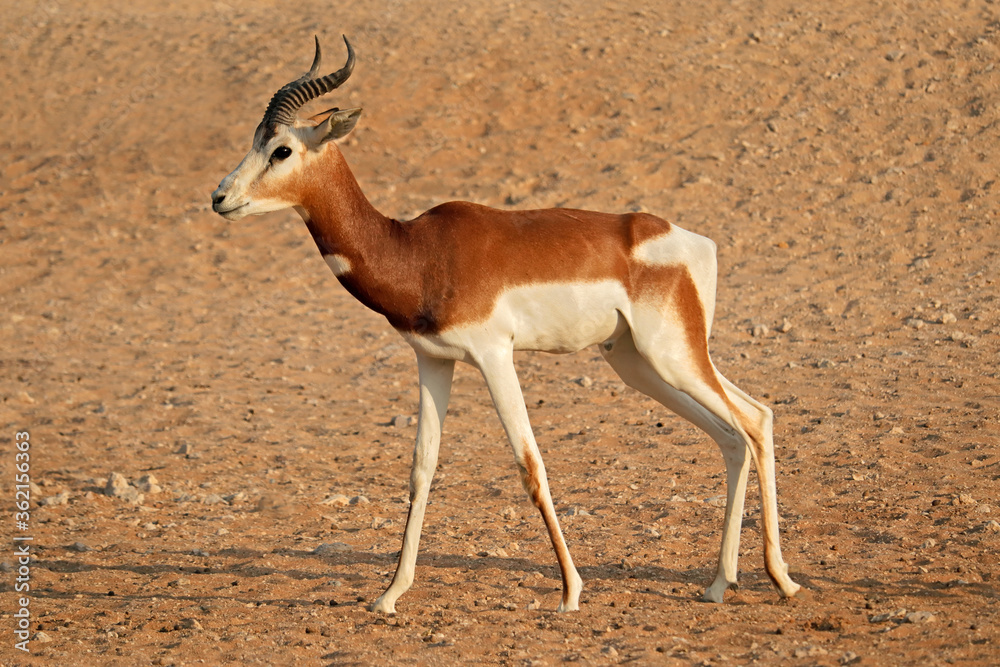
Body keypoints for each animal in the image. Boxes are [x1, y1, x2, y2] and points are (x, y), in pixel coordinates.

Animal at [211, 36, 803, 613]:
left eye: (282, 149)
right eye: (255, 140)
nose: (219, 197)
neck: (416, 251)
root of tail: (693, 241)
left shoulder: (495, 355)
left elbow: (529, 464)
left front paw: (570, 592)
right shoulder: (432, 360)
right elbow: (421, 467)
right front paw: (391, 594)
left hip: (673, 356)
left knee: (749, 422)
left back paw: (780, 580)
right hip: (640, 363)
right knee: (740, 427)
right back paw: (724, 583)